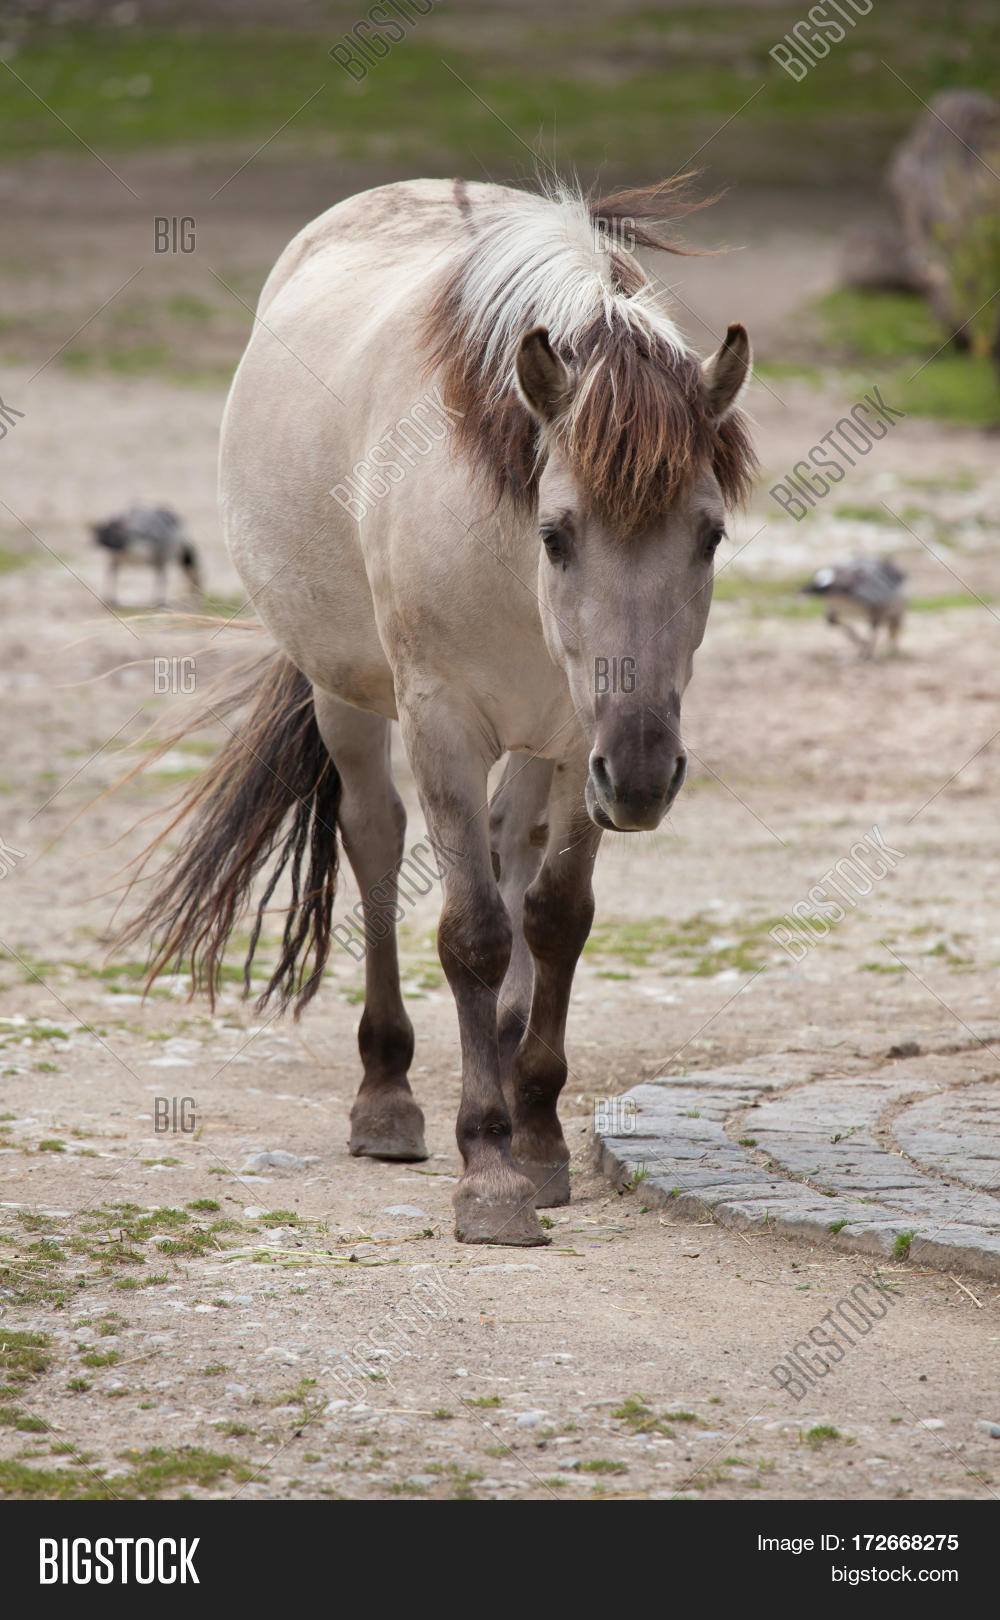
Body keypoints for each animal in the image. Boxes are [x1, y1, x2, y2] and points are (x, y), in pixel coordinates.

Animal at [118, 177, 757, 1246]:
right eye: (557, 533)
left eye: (708, 535)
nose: (643, 775)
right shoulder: (444, 726)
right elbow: (472, 933)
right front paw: (490, 1171)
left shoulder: (580, 742)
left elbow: (555, 919)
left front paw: (537, 1136)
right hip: (348, 696)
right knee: (375, 843)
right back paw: (387, 1095)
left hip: (549, 746)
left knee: (511, 849)